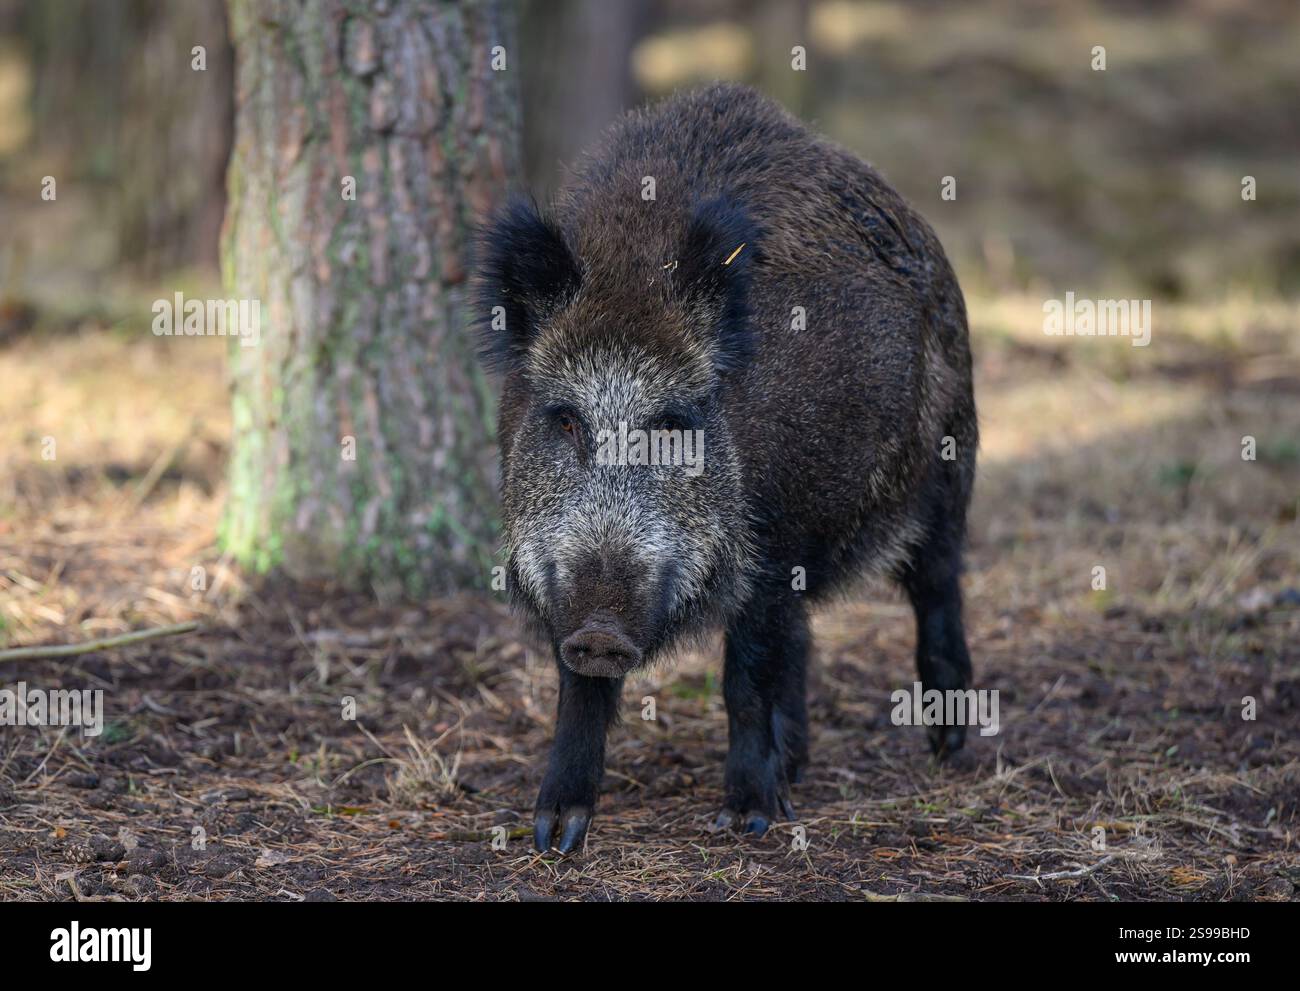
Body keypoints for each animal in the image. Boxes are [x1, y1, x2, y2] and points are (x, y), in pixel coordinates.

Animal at [475, 83, 977, 854]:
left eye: (672, 425)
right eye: (565, 420)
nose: (602, 631)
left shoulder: (772, 541)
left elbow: (745, 677)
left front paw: (745, 820)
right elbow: (578, 688)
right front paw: (555, 834)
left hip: (951, 456)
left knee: (938, 582)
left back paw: (950, 750)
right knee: (807, 635)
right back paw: (796, 766)